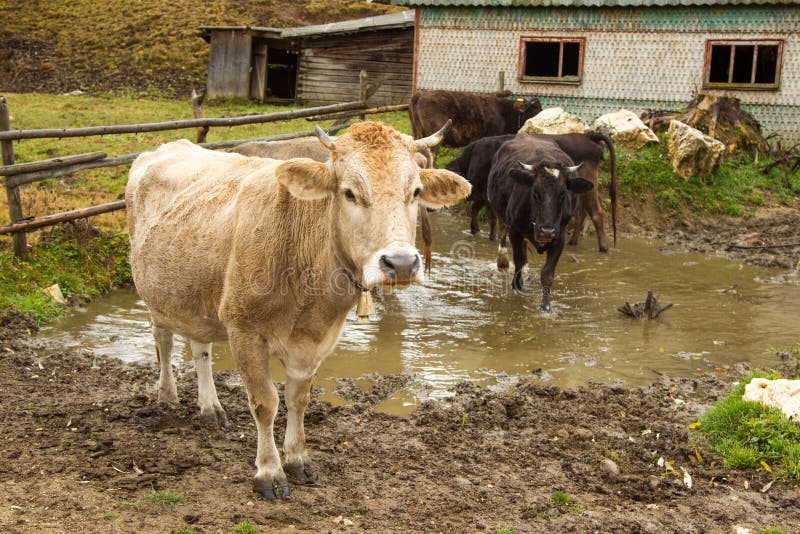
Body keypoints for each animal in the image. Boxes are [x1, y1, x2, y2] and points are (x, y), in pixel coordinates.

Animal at [125, 121, 470, 499]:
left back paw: (210, 408)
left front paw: (297, 458)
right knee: (164, 339)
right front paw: (269, 472)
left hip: (196, 293)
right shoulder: (244, 330)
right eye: (349, 193)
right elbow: (265, 403)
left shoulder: (315, 340)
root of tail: (167, 147)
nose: (402, 263)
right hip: (155, 293)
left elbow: (298, 399)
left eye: (416, 191)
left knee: (200, 347)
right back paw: (167, 396)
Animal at [448, 132, 617, 251]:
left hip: (588, 183)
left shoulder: (486, 195)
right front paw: (475, 229)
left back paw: (603, 247)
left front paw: (489, 236)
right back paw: (573, 242)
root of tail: (588, 136)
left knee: (596, 213)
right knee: (582, 213)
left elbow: (489, 216)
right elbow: (477, 209)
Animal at [486, 136, 592, 312]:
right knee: (504, 237)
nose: (546, 231)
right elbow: (519, 263)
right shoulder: (515, 231)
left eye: (562, 193)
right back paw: (503, 260)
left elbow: (547, 274)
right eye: (535, 192)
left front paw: (546, 306)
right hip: (502, 217)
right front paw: (517, 288)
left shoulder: (559, 237)